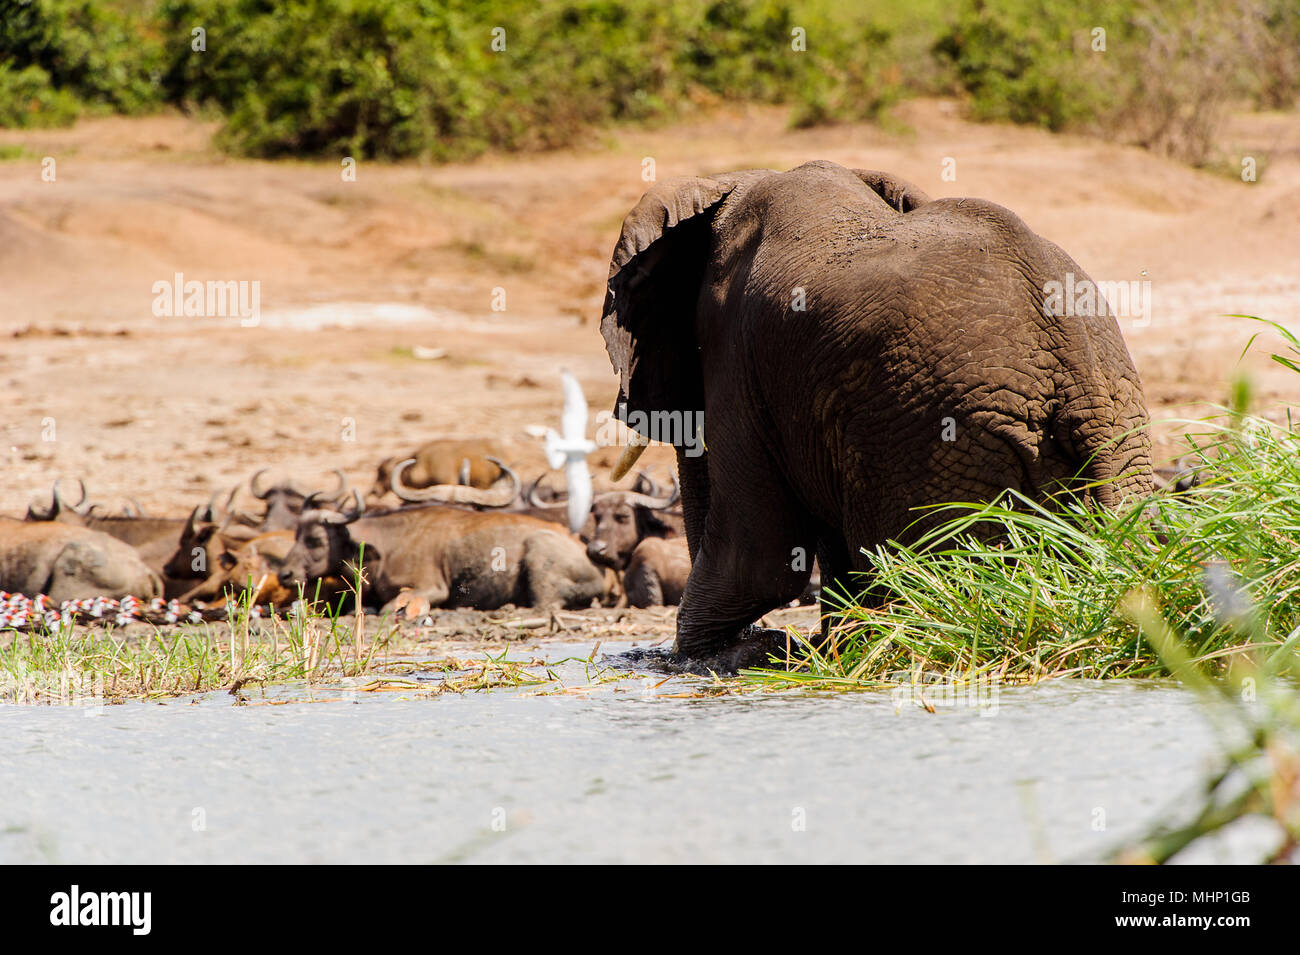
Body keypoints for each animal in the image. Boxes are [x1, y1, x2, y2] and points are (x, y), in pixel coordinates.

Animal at [600, 160, 1153, 671]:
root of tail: (1076, 369)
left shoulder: (737, 358)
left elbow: (757, 559)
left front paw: (729, 654)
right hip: (1116, 437)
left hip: (933, 446)